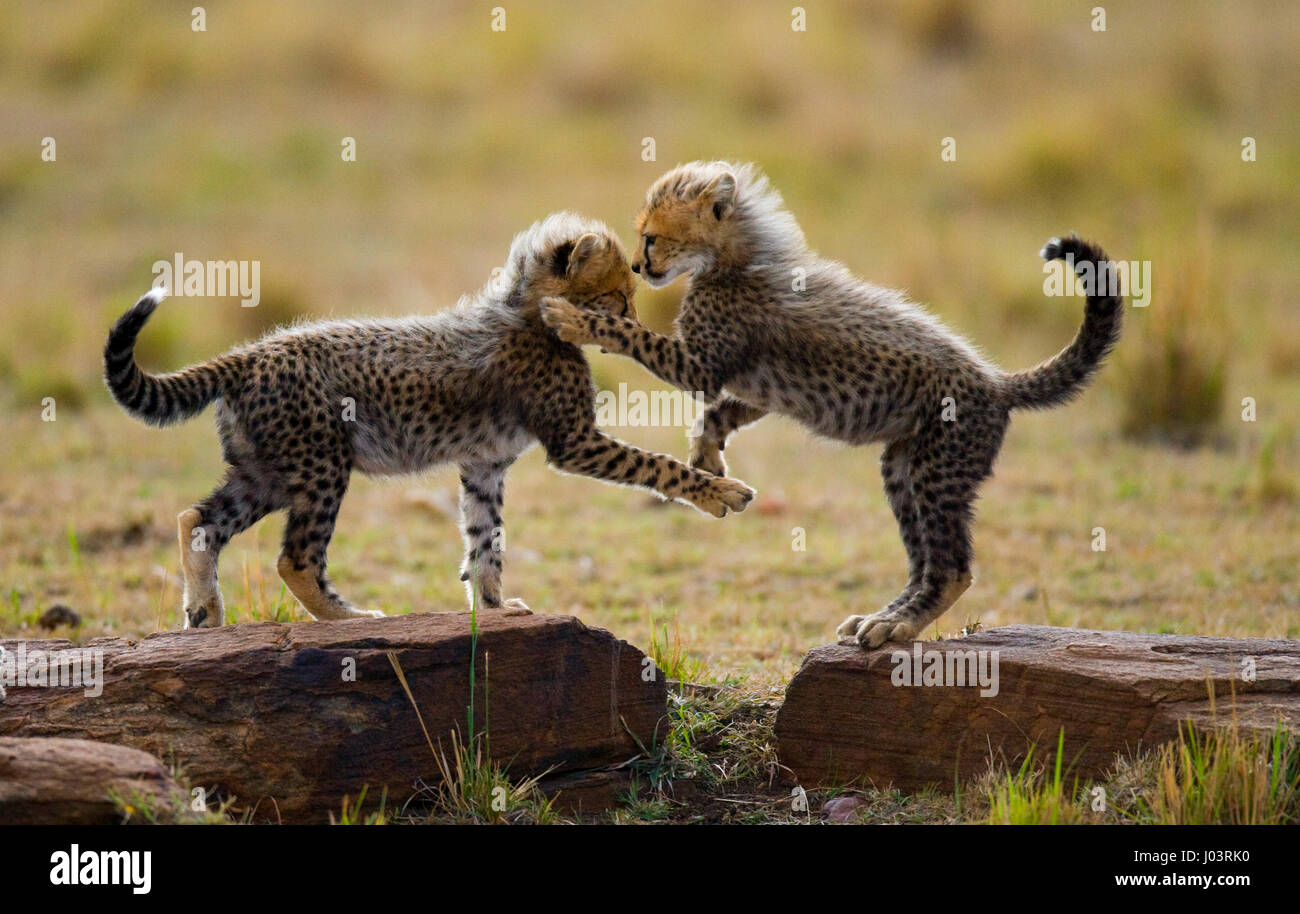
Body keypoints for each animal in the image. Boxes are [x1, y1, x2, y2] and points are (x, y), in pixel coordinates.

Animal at [104, 211, 754, 629]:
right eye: (619, 294)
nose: (631, 319)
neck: (530, 312)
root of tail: (252, 351)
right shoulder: (575, 442)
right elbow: (657, 465)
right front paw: (718, 492)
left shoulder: (483, 464)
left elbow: (484, 539)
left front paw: (493, 607)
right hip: (320, 467)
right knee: (295, 556)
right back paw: (345, 617)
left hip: (267, 471)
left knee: (197, 519)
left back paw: (204, 611)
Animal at [541, 162, 1122, 648]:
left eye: (651, 236)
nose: (641, 266)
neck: (735, 259)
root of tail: (997, 382)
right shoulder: (759, 387)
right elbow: (722, 410)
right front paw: (706, 454)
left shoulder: (702, 365)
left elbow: (641, 340)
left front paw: (580, 320)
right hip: (903, 466)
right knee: (923, 560)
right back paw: (882, 618)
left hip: (940, 467)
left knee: (952, 567)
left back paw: (897, 625)